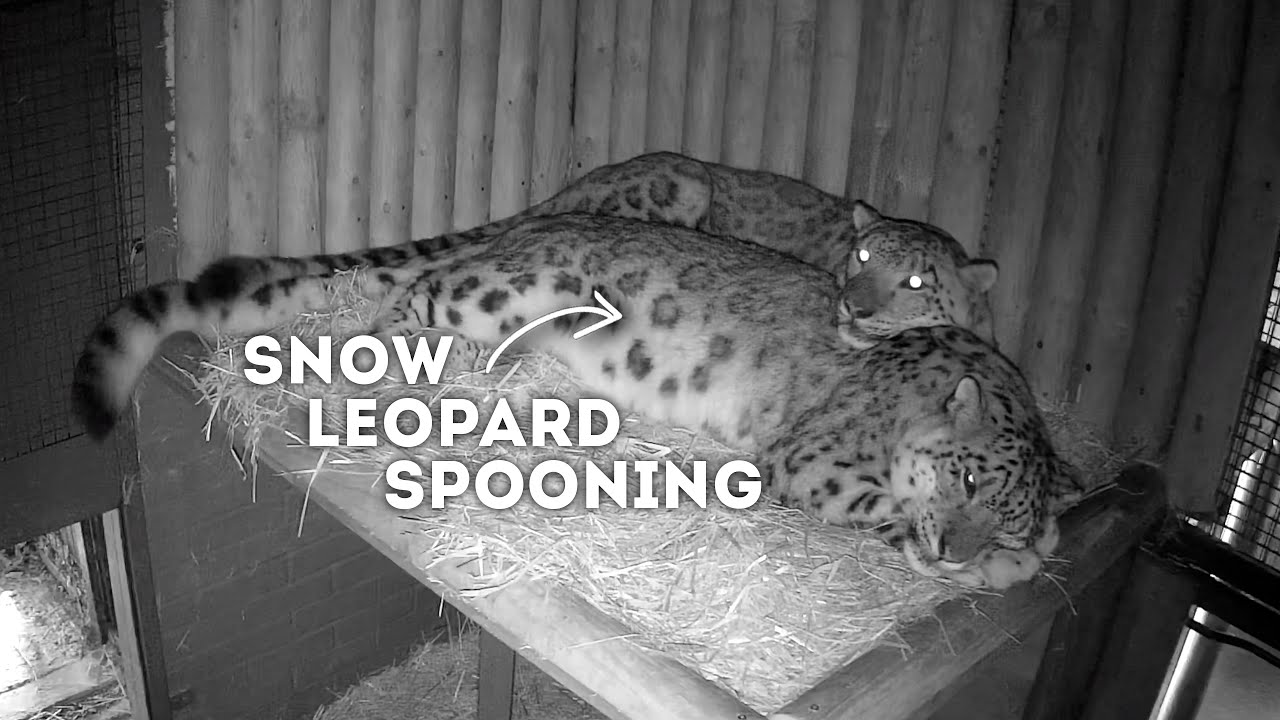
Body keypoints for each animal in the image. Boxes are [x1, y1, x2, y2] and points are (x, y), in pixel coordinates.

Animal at [73, 213, 1080, 590]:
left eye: (1003, 502)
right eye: (969, 481)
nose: (960, 546)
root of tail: (539, 217)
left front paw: (1028, 550)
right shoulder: (816, 462)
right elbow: (877, 508)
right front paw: (992, 567)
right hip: (501, 286)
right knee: (414, 295)